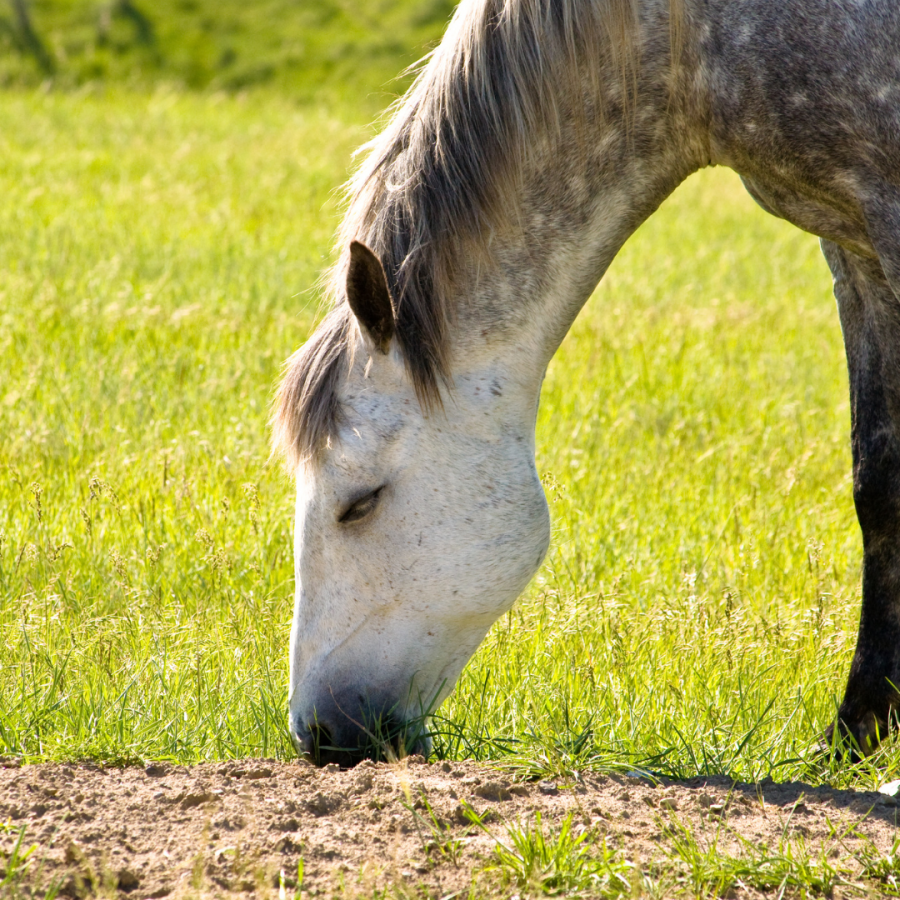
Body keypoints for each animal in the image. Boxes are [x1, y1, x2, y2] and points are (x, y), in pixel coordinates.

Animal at [273, 0, 900, 766]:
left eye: (358, 504)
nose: (319, 735)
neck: (691, 36)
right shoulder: (852, 250)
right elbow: (879, 488)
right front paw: (857, 735)